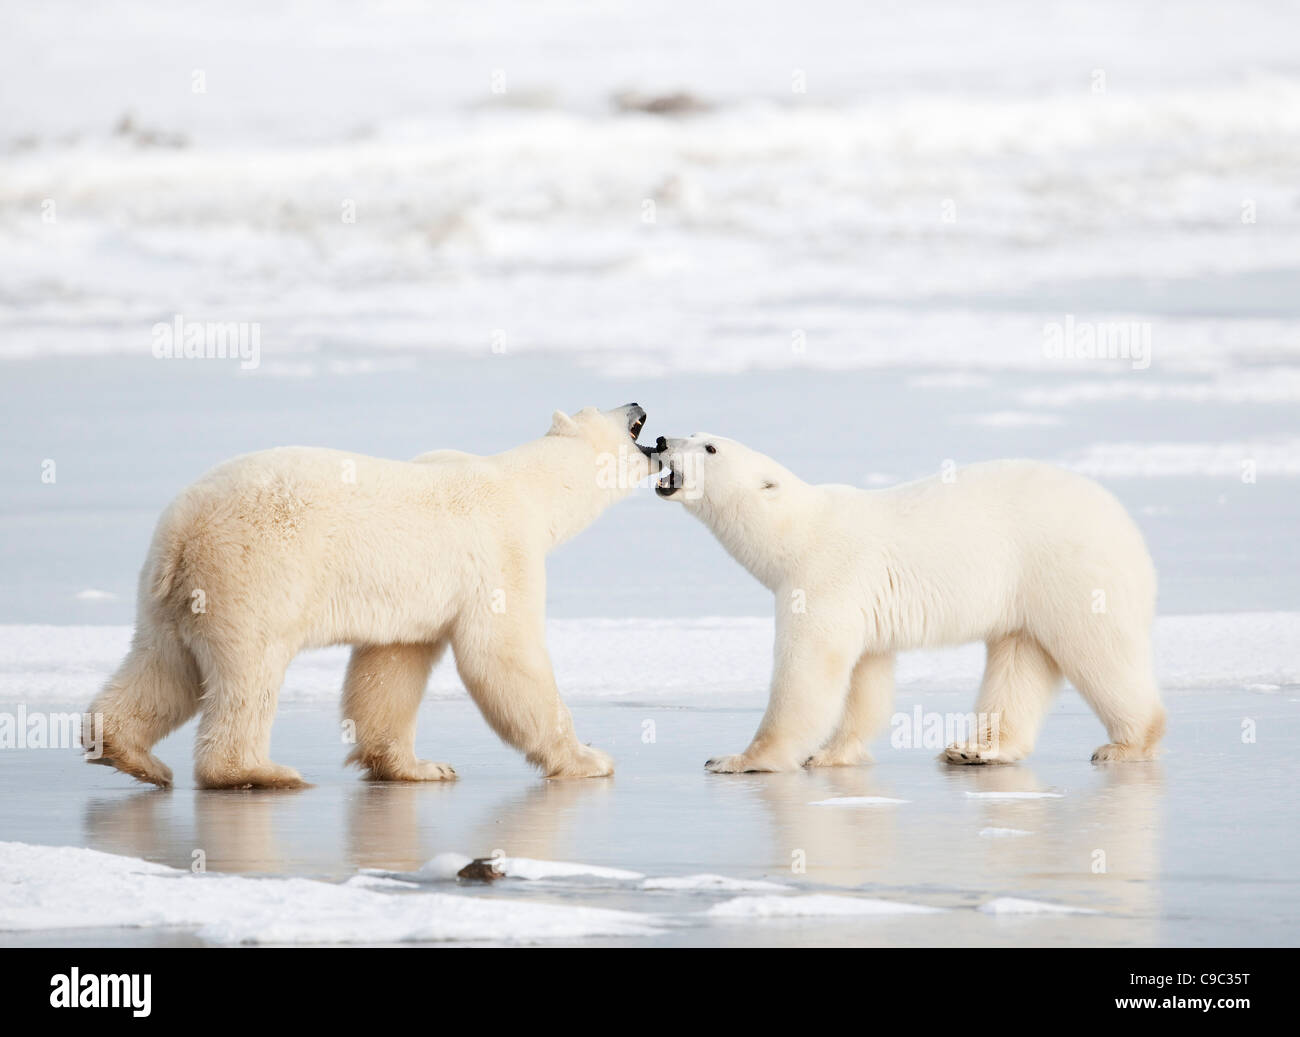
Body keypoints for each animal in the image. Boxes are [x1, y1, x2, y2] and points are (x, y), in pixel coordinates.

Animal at [85, 404, 658, 789]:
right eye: (609, 409)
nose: (638, 403)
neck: (528, 487)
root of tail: (183, 531)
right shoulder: (501, 553)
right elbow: (504, 655)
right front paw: (590, 758)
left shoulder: (417, 596)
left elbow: (390, 670)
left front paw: (421, 766)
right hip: (252, 574)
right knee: (247, 674)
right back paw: (260, 771)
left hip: (170, 596)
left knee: (163, 668)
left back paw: (130, 753)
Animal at [651, 433, 1166, 771]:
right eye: (690, 433)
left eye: (710, 447)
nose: (659, 438)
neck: (797, 533)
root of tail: (1125, 521)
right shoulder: (861, 605)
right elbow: (866, 678)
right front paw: (834, 753)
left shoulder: (824, 579)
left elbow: (808, 671)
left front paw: (738, 758)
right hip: (1026, 595)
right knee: (1018, 660)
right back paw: (974, 749)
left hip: (1070, 569)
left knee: (1100, 651)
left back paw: (1126, 745)